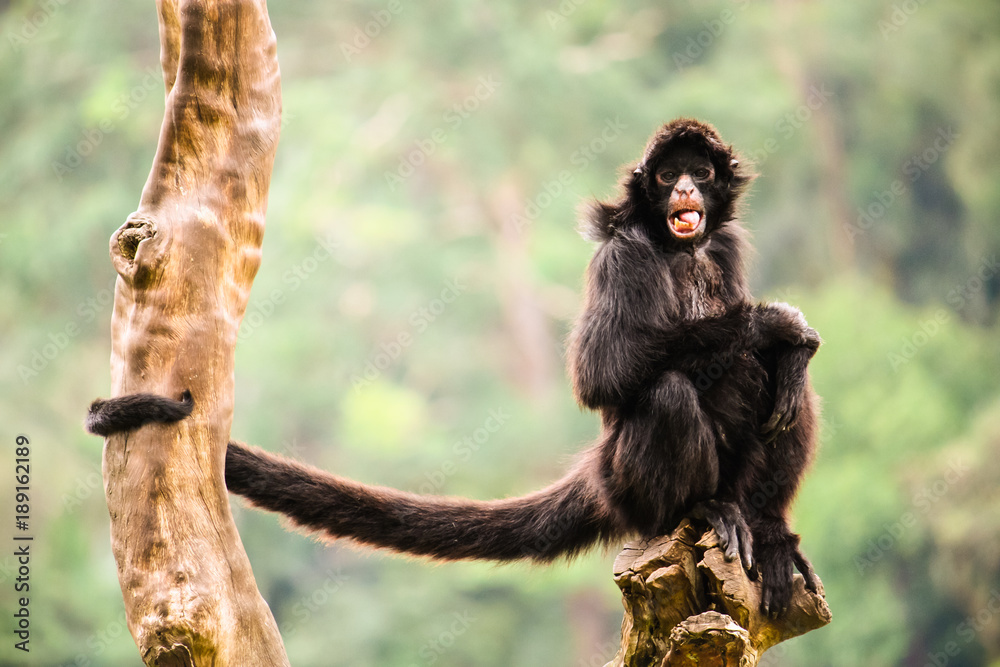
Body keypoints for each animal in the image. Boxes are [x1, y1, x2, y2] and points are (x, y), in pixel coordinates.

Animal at [86, 118, 822, 616]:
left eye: (701, 171)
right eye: (670, 175)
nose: (689, 186)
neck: (681, 250)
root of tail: (602, 473)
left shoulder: (723, 244)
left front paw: (783, 339)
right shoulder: (625, 251)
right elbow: (604, 373)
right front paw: (775, 322)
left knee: (788, 391)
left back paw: (765, 527)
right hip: (629, 485)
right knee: (667, 392)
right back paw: (700, 507)